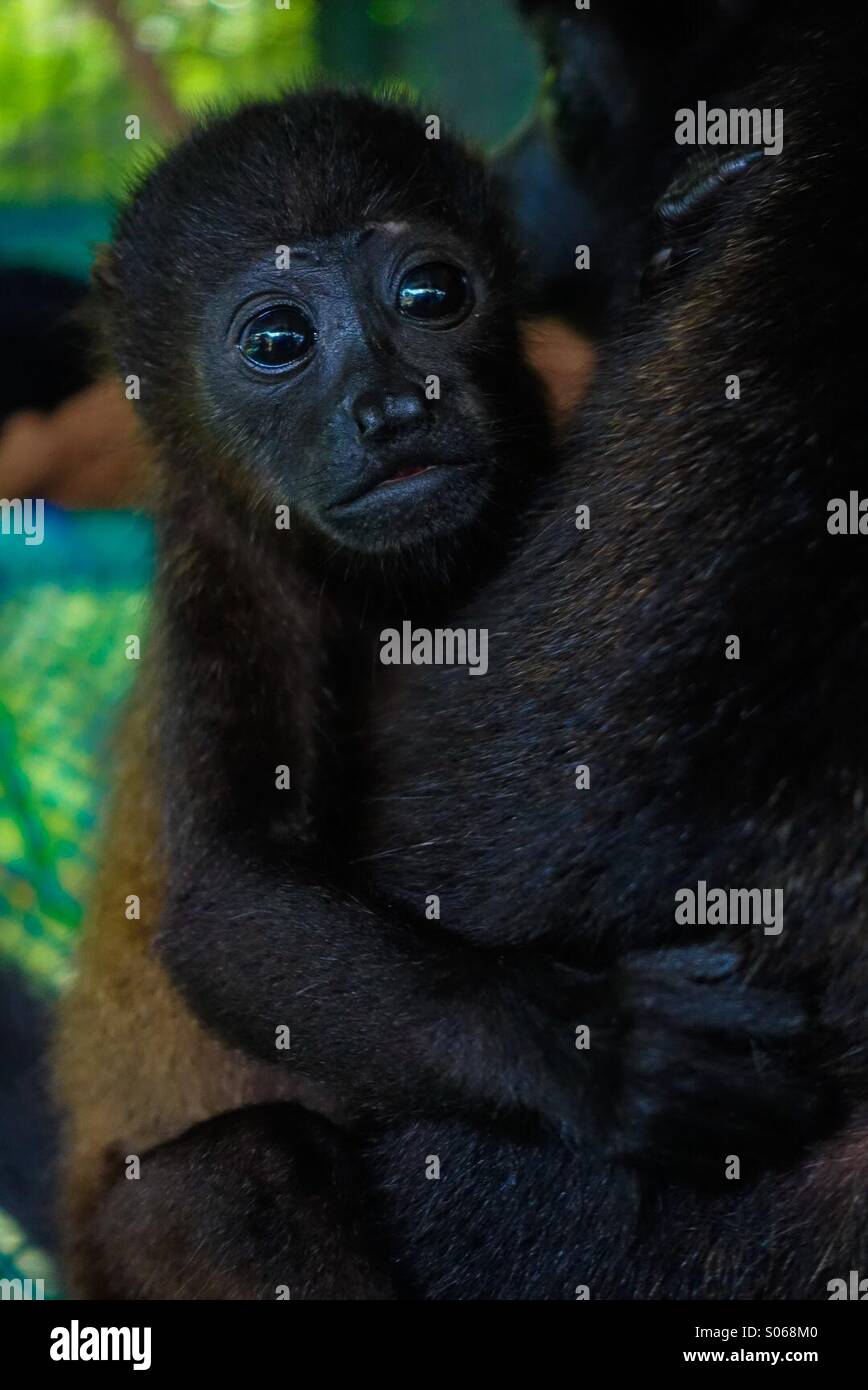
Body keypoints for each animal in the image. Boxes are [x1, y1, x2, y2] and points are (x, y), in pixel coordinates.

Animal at [53, 83, 831, 1300]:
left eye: (432, 293)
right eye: (276, 342)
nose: (391, 411)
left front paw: (674, 243)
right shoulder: (229, 584)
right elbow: (228, 907)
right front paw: (599, 1050)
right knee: (235, 1176)